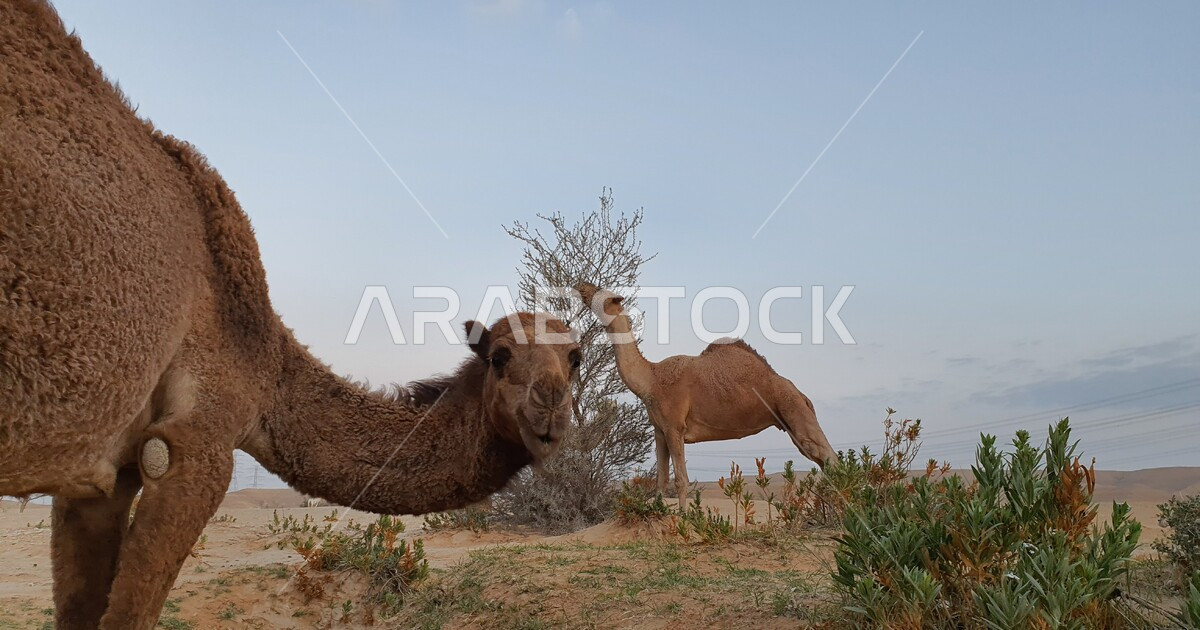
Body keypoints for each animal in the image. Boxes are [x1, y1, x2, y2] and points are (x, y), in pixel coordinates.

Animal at [0, 2, 581, 627]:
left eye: (576, 358)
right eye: (499, 356)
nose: (551, 404)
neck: (266, 364)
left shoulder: (99, 478)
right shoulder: (194, 449)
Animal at [576, 283, 836, 503]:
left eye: (601, 293)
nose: (582, 286)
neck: (651, 380)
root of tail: (802, 395)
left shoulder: (675, 428)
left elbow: (681, 481)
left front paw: (682, 522)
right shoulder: (660, 430)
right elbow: (661, 480)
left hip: (793, 409)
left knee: (827, 455)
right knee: (823, 459)